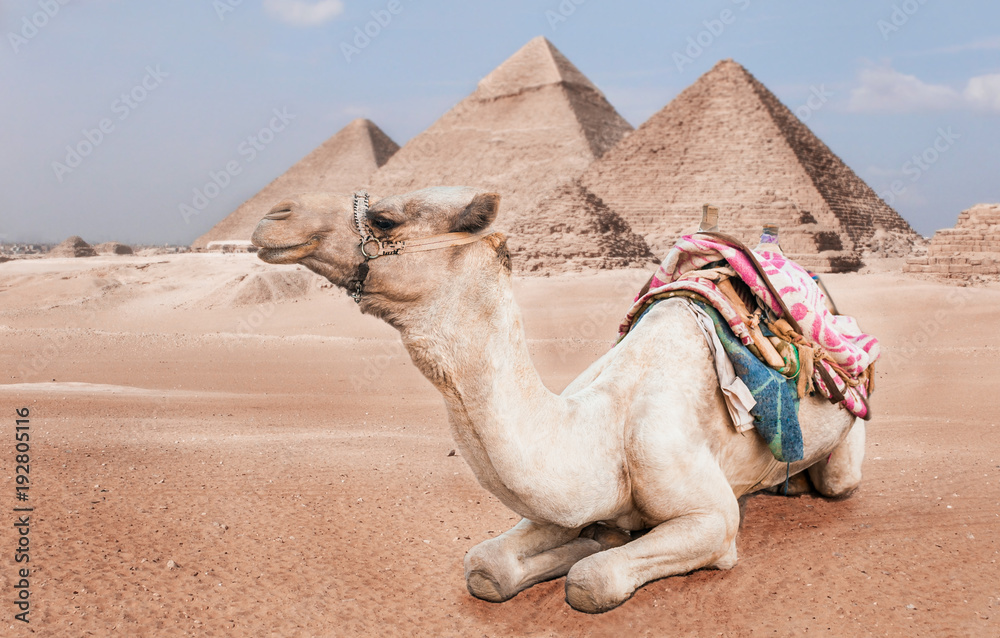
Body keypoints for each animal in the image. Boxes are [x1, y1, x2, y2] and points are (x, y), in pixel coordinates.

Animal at [250, 188, 865, 613]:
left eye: (384, 218)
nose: (273, 215)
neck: (600, 425)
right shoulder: (564, 501)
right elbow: (486, 565)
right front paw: (589, 540)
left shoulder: (712, 520)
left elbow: (592, 580)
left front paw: (592, 553)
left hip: (847, 445)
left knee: (837, 482)